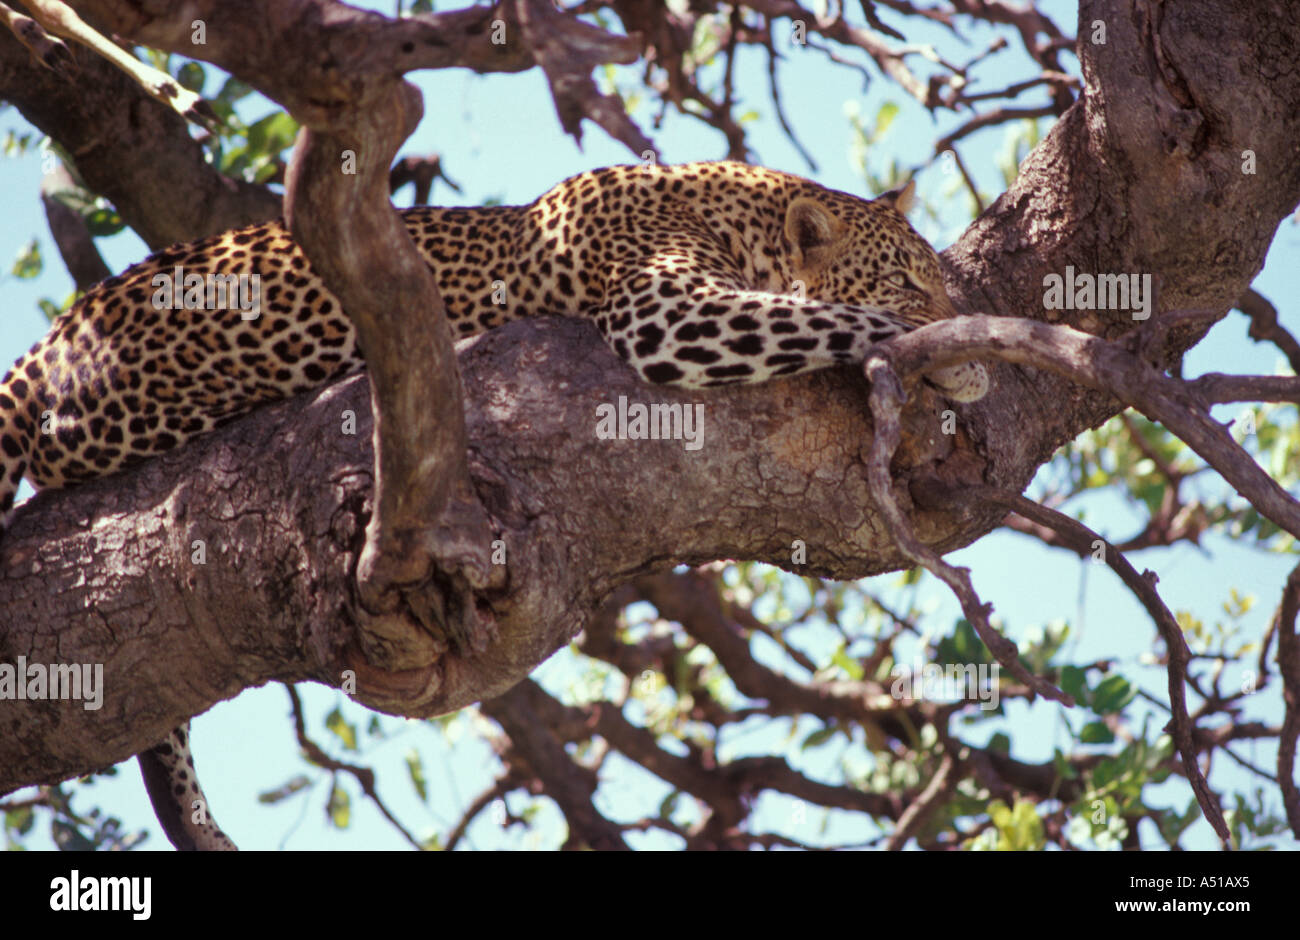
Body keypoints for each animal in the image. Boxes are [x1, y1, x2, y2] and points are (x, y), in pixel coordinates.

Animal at [0, 160, 988, 850]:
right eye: (907, 278)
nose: (957, 300)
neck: (736, 212)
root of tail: (42, 351)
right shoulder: (663, 310)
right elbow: (836, 320)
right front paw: (963, 356)